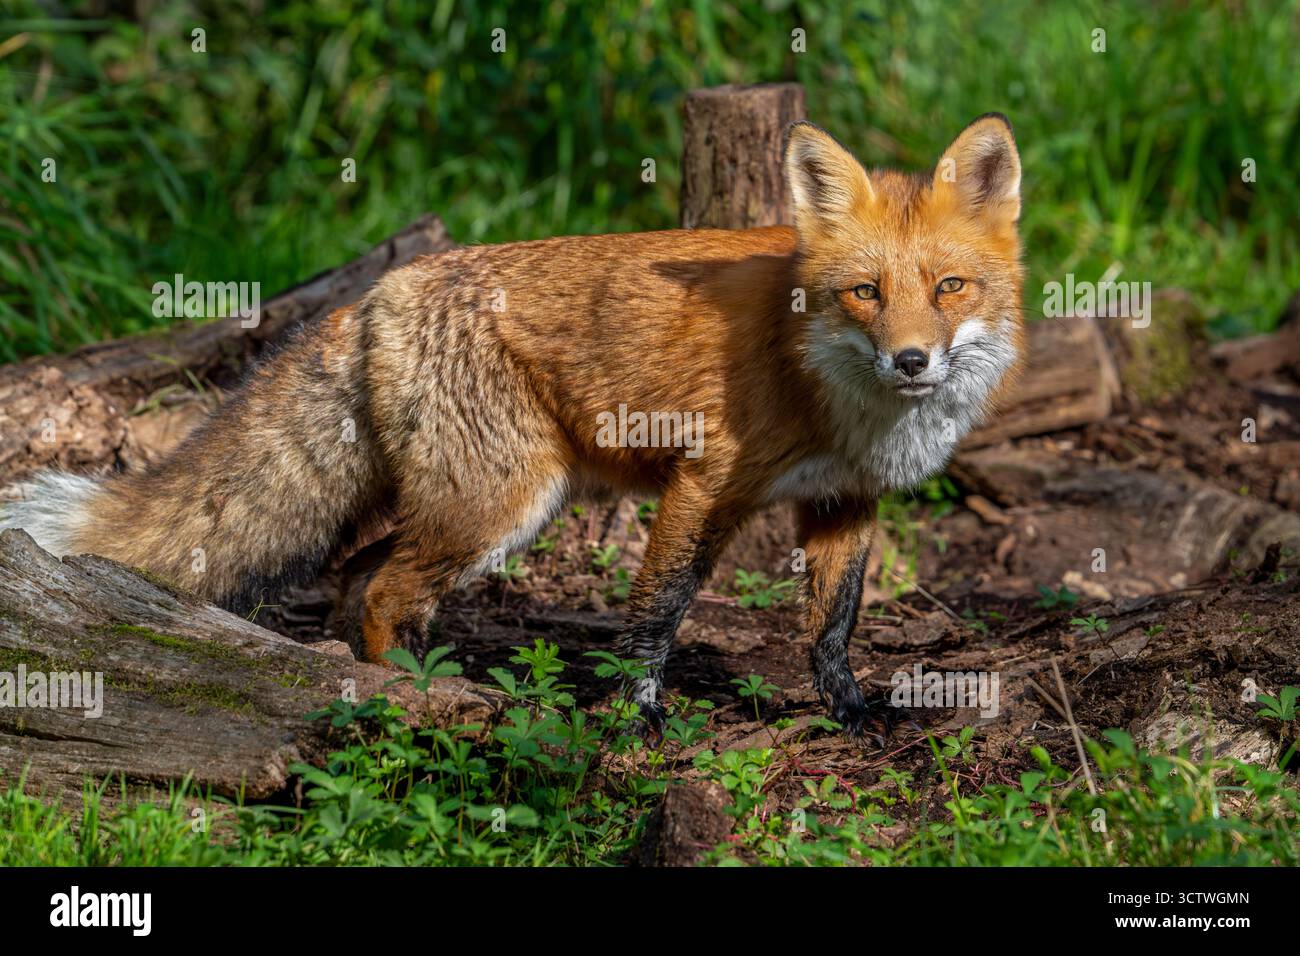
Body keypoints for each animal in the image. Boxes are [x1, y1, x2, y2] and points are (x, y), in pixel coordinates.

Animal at [0, 115, 1023, 736]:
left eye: (949, 287)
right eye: (865, 293)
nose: (912, 362)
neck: (834, 393)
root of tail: (380, 289)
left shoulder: (843, 503)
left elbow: (833, 628)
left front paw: (853, 717)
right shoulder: (706, 482)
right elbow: (657, 614)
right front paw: (637, 725)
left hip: (485, 506)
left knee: (357, 575)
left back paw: (392, 677)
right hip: (502, 505)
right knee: (380, 588)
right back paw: (415, 695)